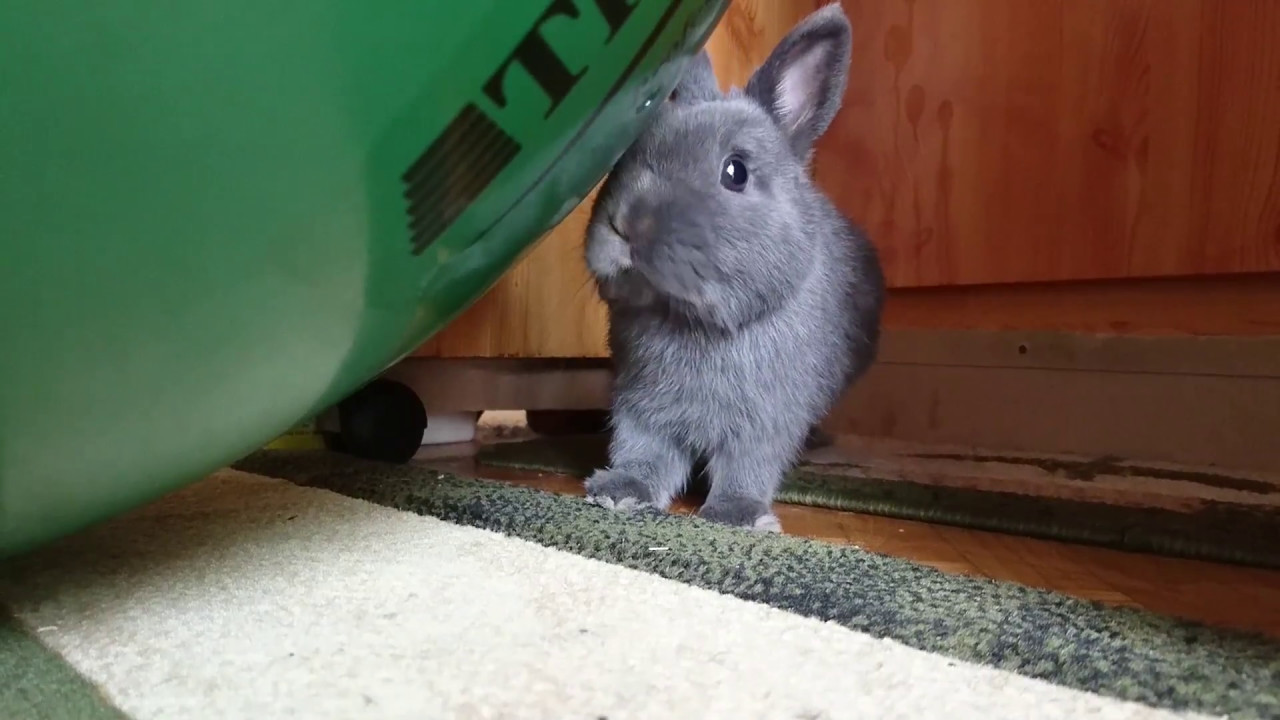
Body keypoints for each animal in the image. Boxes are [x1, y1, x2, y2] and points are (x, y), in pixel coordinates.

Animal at [581, 3, 884, 532]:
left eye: (736, 172)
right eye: (630, 153)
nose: (626, 223)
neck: (690, 322)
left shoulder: (767, 420)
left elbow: (748, 465)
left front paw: (735, 515)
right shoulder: (640, 405)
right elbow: (643, 451)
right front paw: (621, 491)